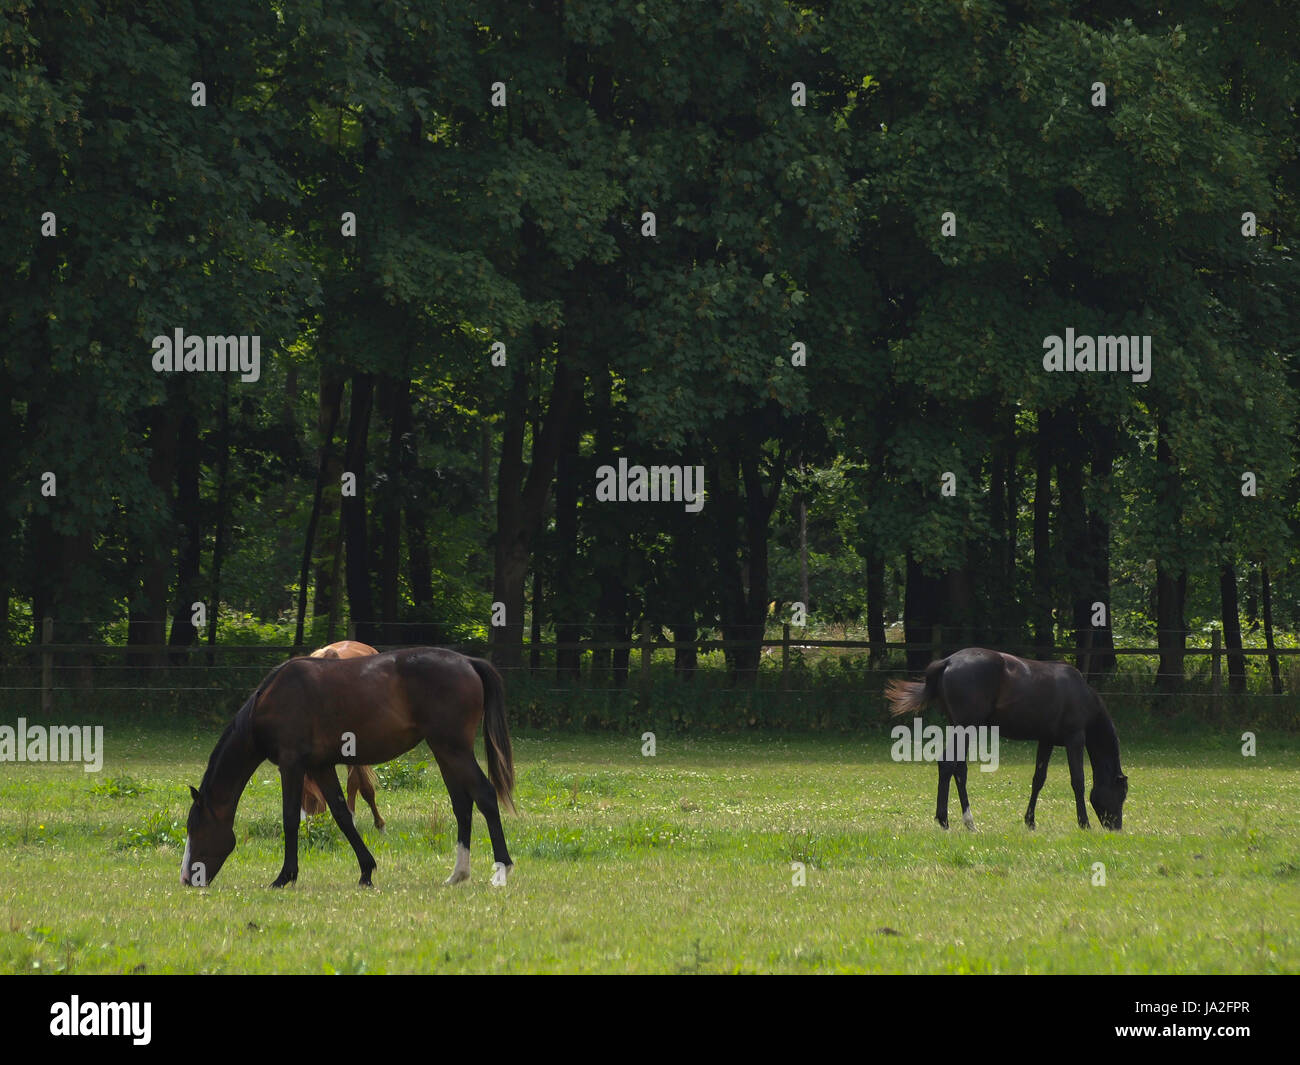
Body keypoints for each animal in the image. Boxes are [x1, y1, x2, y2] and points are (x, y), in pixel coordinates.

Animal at [884, 647, 1127, 831]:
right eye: (1122, 794)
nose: (1116, 827)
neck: (1081, 694)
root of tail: (947, 662)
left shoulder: (1046, 741)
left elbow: (1038, 779)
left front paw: (1030, 821)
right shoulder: (1074, 738)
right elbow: (1078, 780)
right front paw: (1084, 823)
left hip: (960, 727)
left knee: (959, 769)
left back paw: (969, 823)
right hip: (966, 726)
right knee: (948, 764)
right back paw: (946, 820)